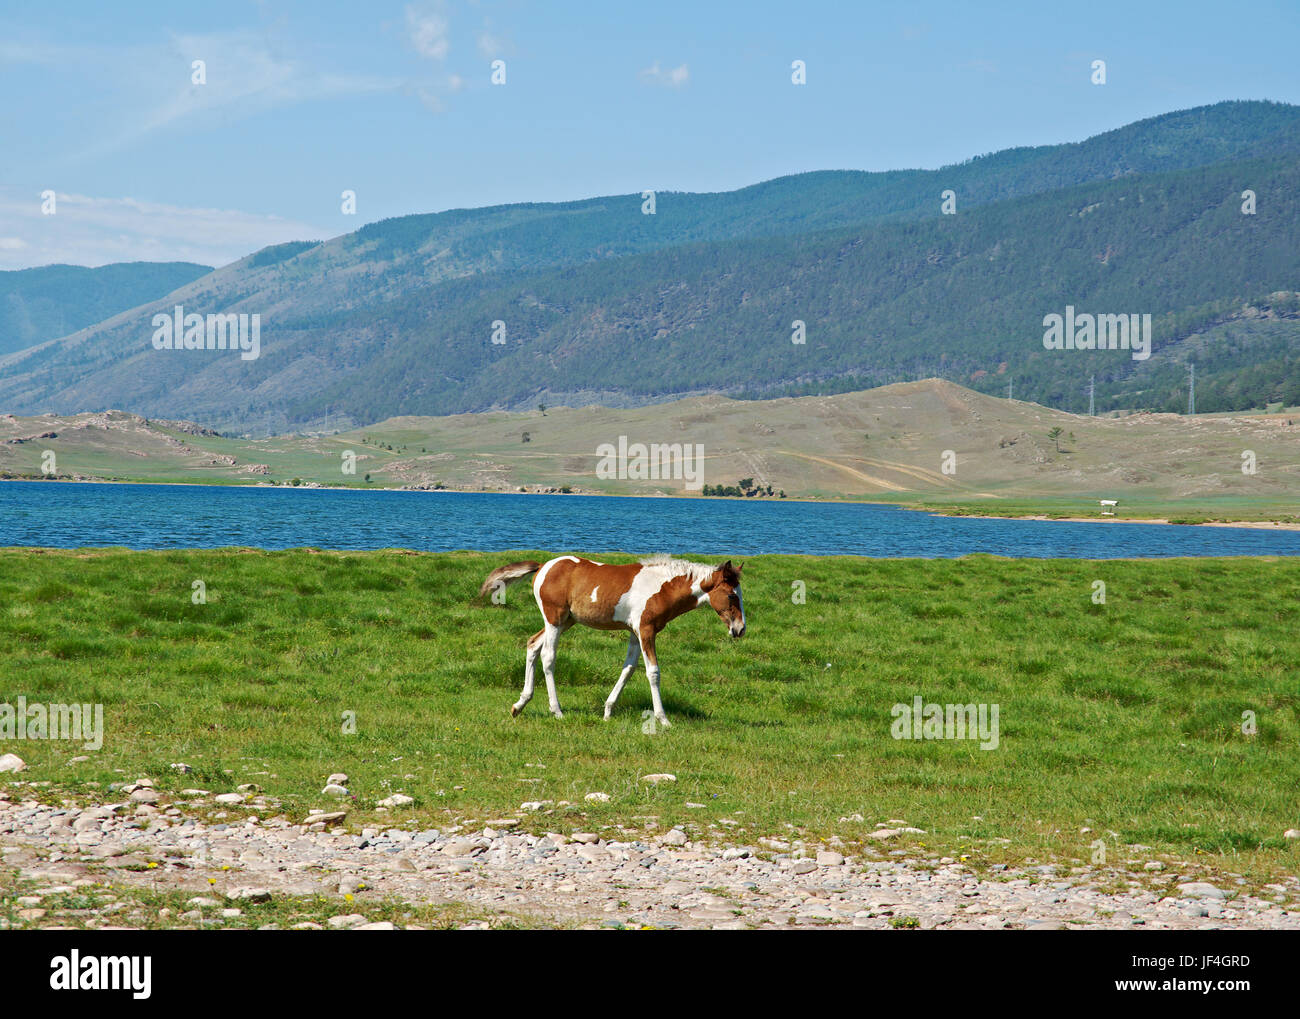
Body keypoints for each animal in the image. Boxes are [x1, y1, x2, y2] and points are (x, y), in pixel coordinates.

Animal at [479, 555, 746, 725]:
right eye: (732, 596)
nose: (740, 629)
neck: (662, 588)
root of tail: (543, 565)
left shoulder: (634, 632)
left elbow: (628, 669)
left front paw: (607, 712)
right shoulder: (646, 630)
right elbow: (653, 672)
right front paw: (663, 719)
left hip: (566, 620)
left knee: (533, 645)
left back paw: (519, 705)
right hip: (554, 619)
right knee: (548, 657)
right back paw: (557, 711)